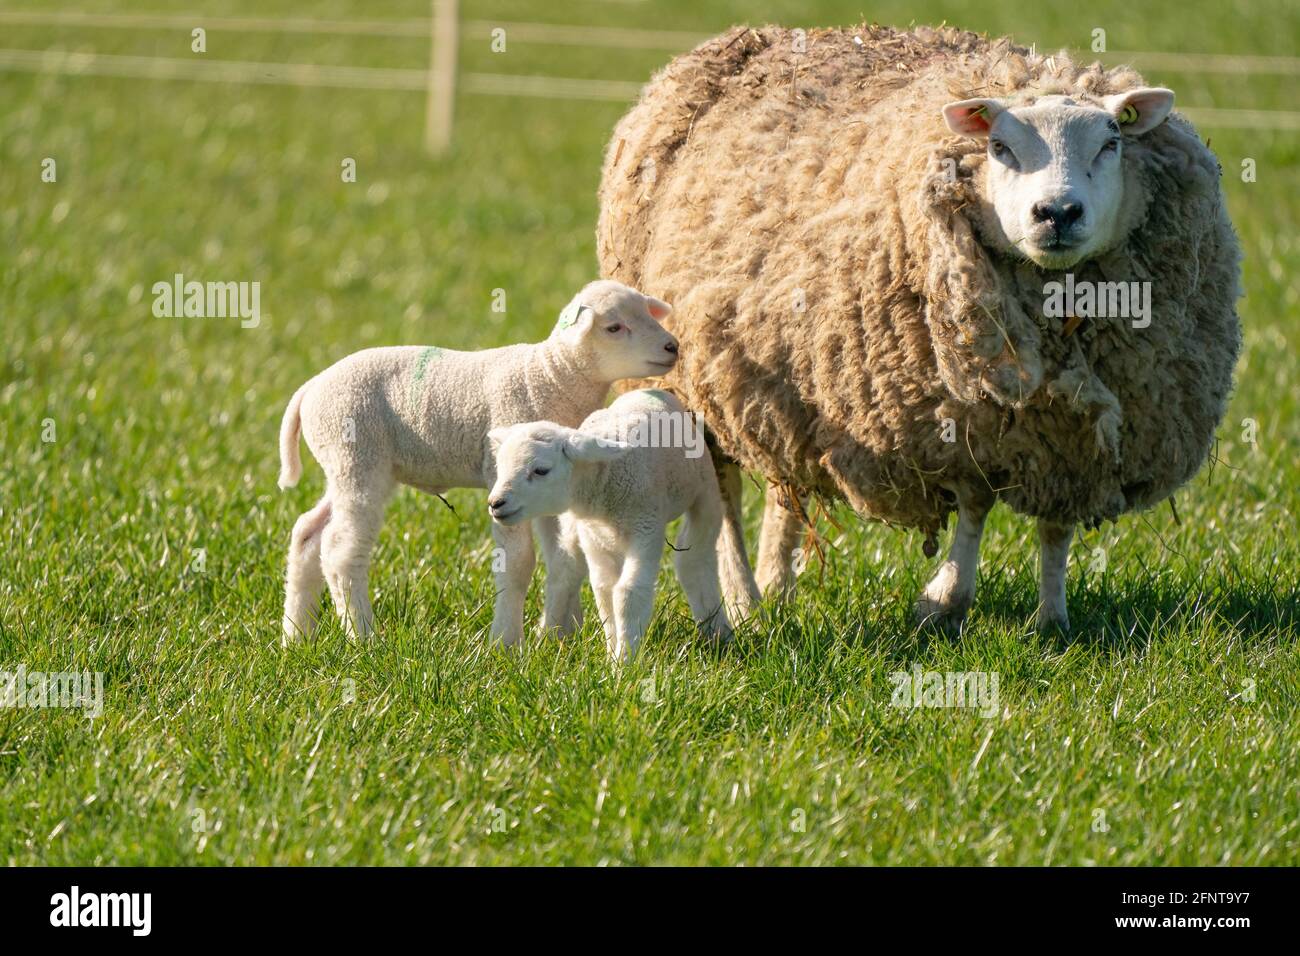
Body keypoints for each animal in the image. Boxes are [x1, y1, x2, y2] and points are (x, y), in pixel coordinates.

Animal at [277, 281, 679, 646]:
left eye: (648, 314)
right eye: (614, 327)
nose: (672, 346)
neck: (548, 377)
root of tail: (310, 387)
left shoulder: (551, 486)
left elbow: (565, 558)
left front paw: (558, 636)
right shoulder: (503, 477)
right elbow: (518, 563)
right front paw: (506, 642)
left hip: (344, 466)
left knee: (306, 532)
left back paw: (296, 637)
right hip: (357, 455)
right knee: (340, 551)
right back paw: (363, 638)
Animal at [486, 389, 750, 663]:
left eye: (541, 470)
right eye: (500, 467)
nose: (495, 503)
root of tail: (649, 391)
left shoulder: (646, 527)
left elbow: (628, 592)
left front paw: (625, 661)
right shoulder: (593, 536)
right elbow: (604, 591)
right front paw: (615, 652)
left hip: (705, 491)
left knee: (695, 560)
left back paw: (717, 632)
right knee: (566, 568)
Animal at [597, 24, 1241, 632]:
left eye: (1111, 143)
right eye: (999, 147)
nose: (1057, 213)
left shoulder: (1069, 445)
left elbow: (1055, 529)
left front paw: (1052, 619)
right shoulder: (958, 417)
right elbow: (976, 506)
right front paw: (945, 601)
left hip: (784, 387)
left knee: (784, 487)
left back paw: (776, 585)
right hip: (696, 380)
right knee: (725, 496)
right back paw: (743, 601)